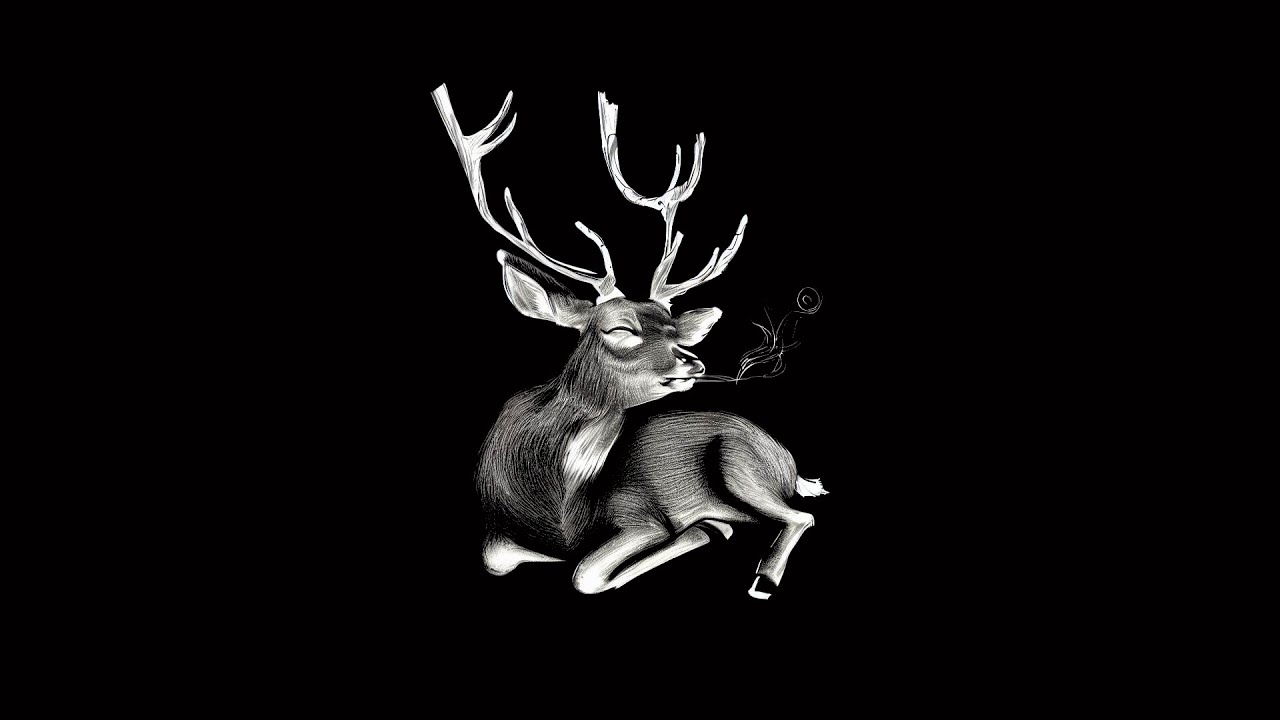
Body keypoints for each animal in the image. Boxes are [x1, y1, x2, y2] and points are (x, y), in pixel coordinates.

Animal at [433, 83, 828, 599]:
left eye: (673, 325)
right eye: (619, 328)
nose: (693, 362)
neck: (558, 507)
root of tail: (789, 460)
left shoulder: (638, 512)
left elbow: (585, 573)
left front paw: (698, 531)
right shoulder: (497, 535)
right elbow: (502, 561)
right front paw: (706, 529)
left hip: (741, 464)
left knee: (800, 515)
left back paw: (759, 574)